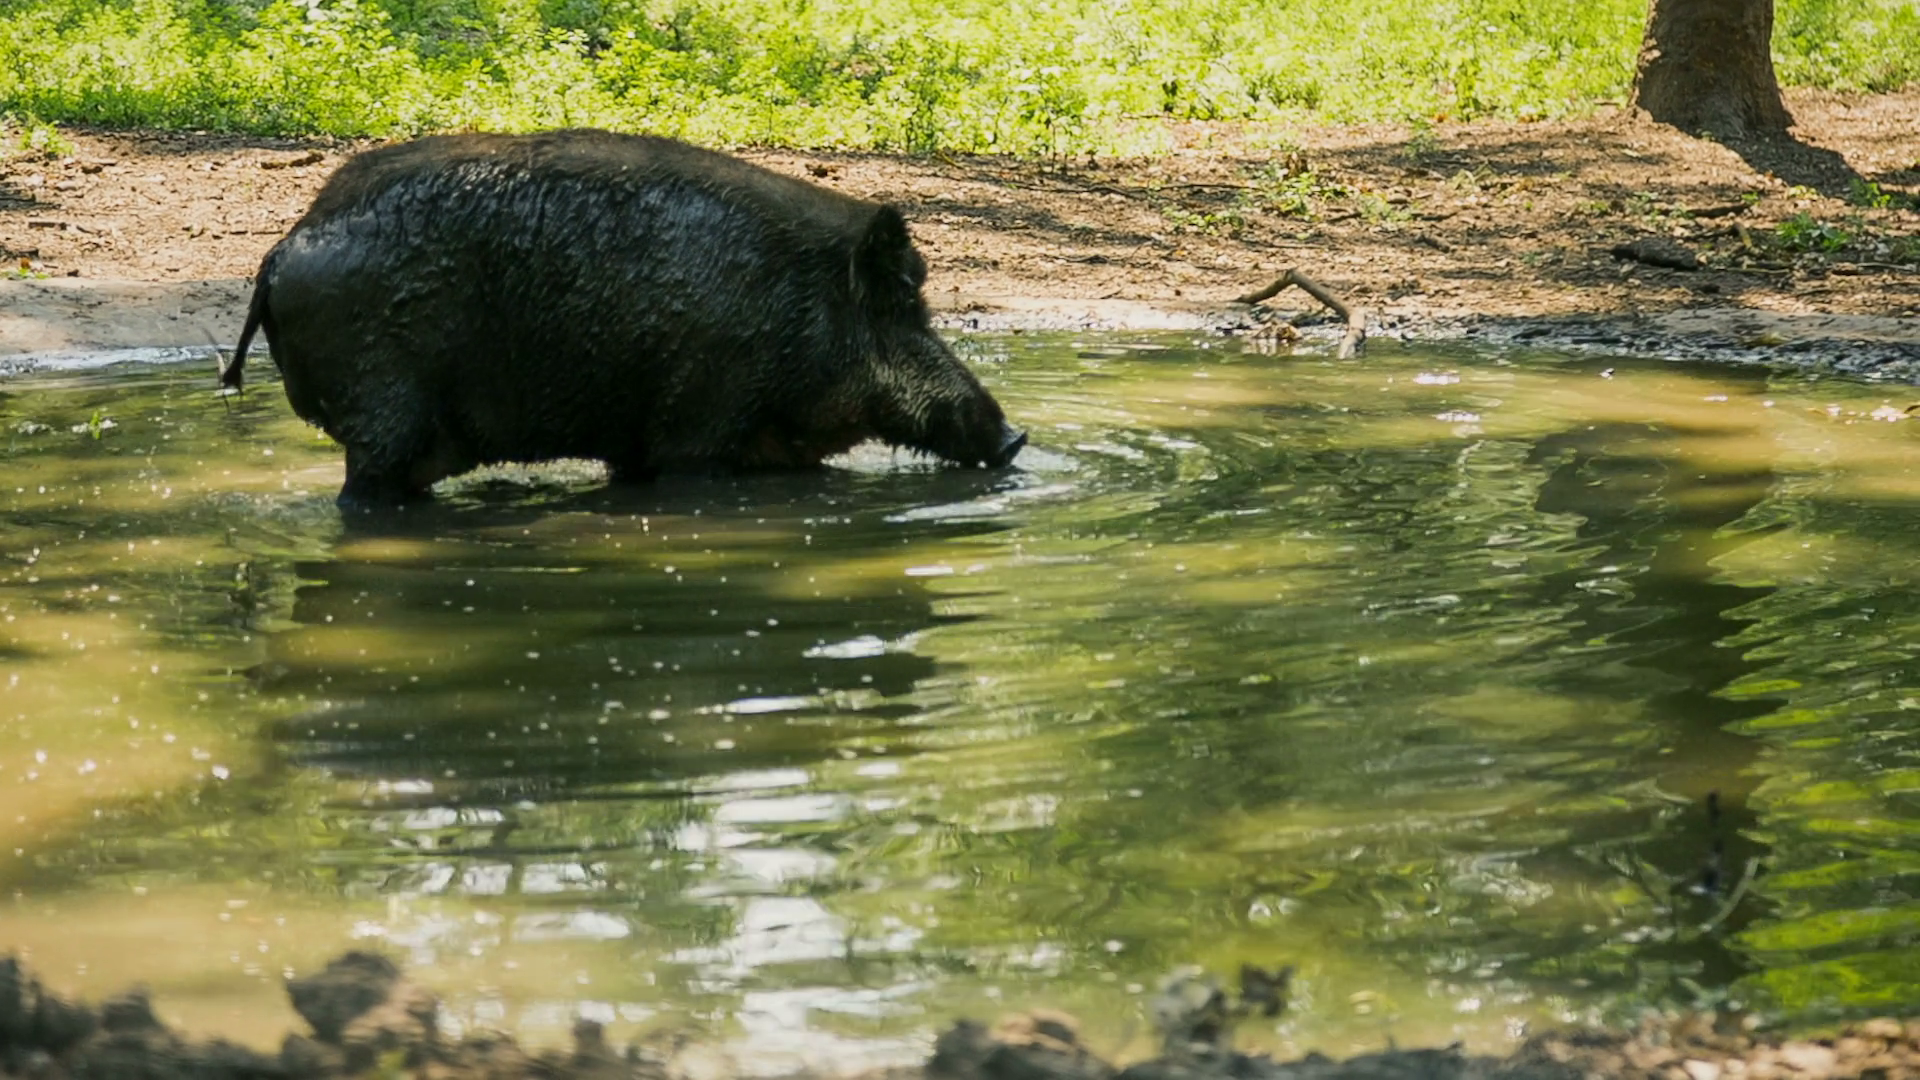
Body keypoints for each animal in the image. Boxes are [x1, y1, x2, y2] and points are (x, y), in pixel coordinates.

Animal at [221, 129, 1025, 507]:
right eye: (903, 305)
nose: (1014, 434)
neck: (793, 311)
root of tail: (283, 249)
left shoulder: (643, 445)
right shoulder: (697, 427)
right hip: (380, 413)